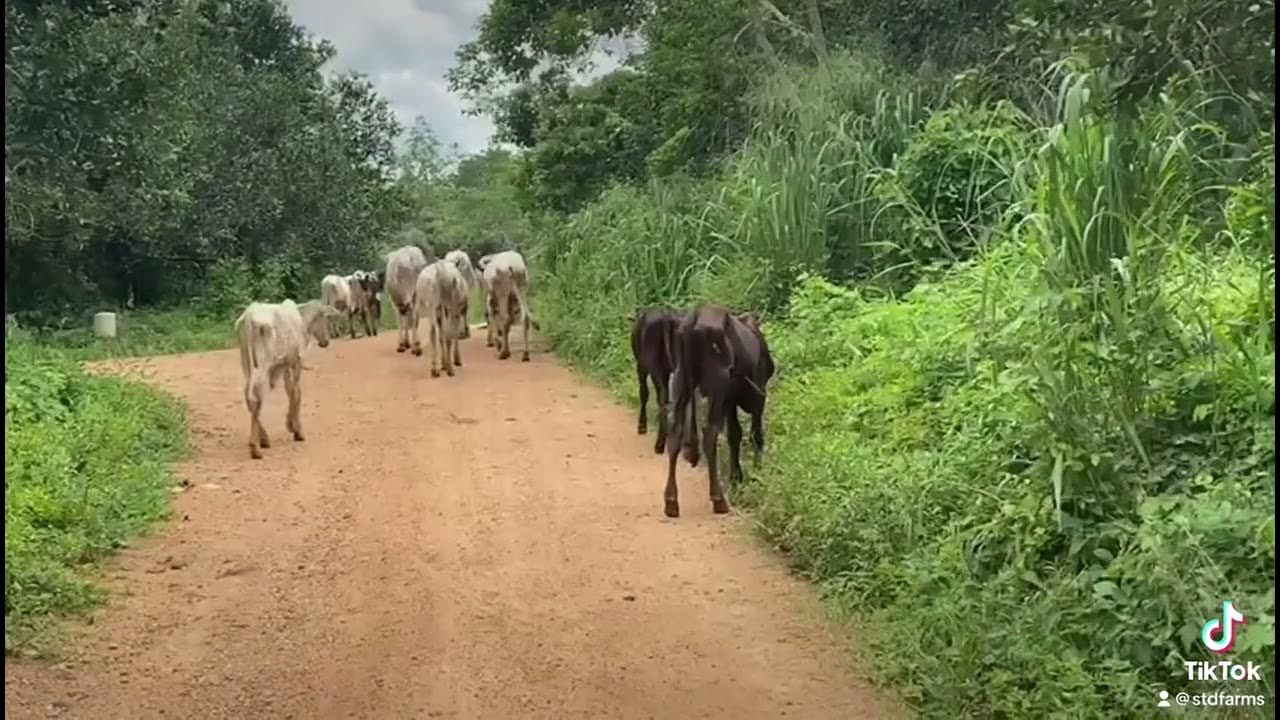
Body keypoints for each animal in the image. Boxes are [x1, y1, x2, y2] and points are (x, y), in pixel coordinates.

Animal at [234, 299, 340, 460]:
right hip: (263, 364)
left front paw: (291, 424)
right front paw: (296, 429)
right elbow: (296, 393)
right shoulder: (296, 362)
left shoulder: (285, 365)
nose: (325, 341)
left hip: (246, 362)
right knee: (256, 396)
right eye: (325, 318)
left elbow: (290, 391)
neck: (302, 318)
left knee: (248, 396)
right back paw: (255, 447)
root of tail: (249, 316)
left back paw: (263, 439)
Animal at [630, 307, 681, 455]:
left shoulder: (641, 367)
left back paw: (660, 444)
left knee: (663, 400)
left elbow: (643, 393)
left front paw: (642, 426)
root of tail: (666, 315)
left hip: (655, 369)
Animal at [662, 305, 775, 518]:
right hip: (718, 383)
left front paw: (736, 478)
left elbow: (734, 434)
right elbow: (755, 435)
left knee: (675, 432)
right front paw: (756, 474)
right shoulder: (759, 395)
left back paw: (671, 501)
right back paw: (718, 499)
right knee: (710, 434)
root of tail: (695, 319)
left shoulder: (730, 402)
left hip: (681, 379)